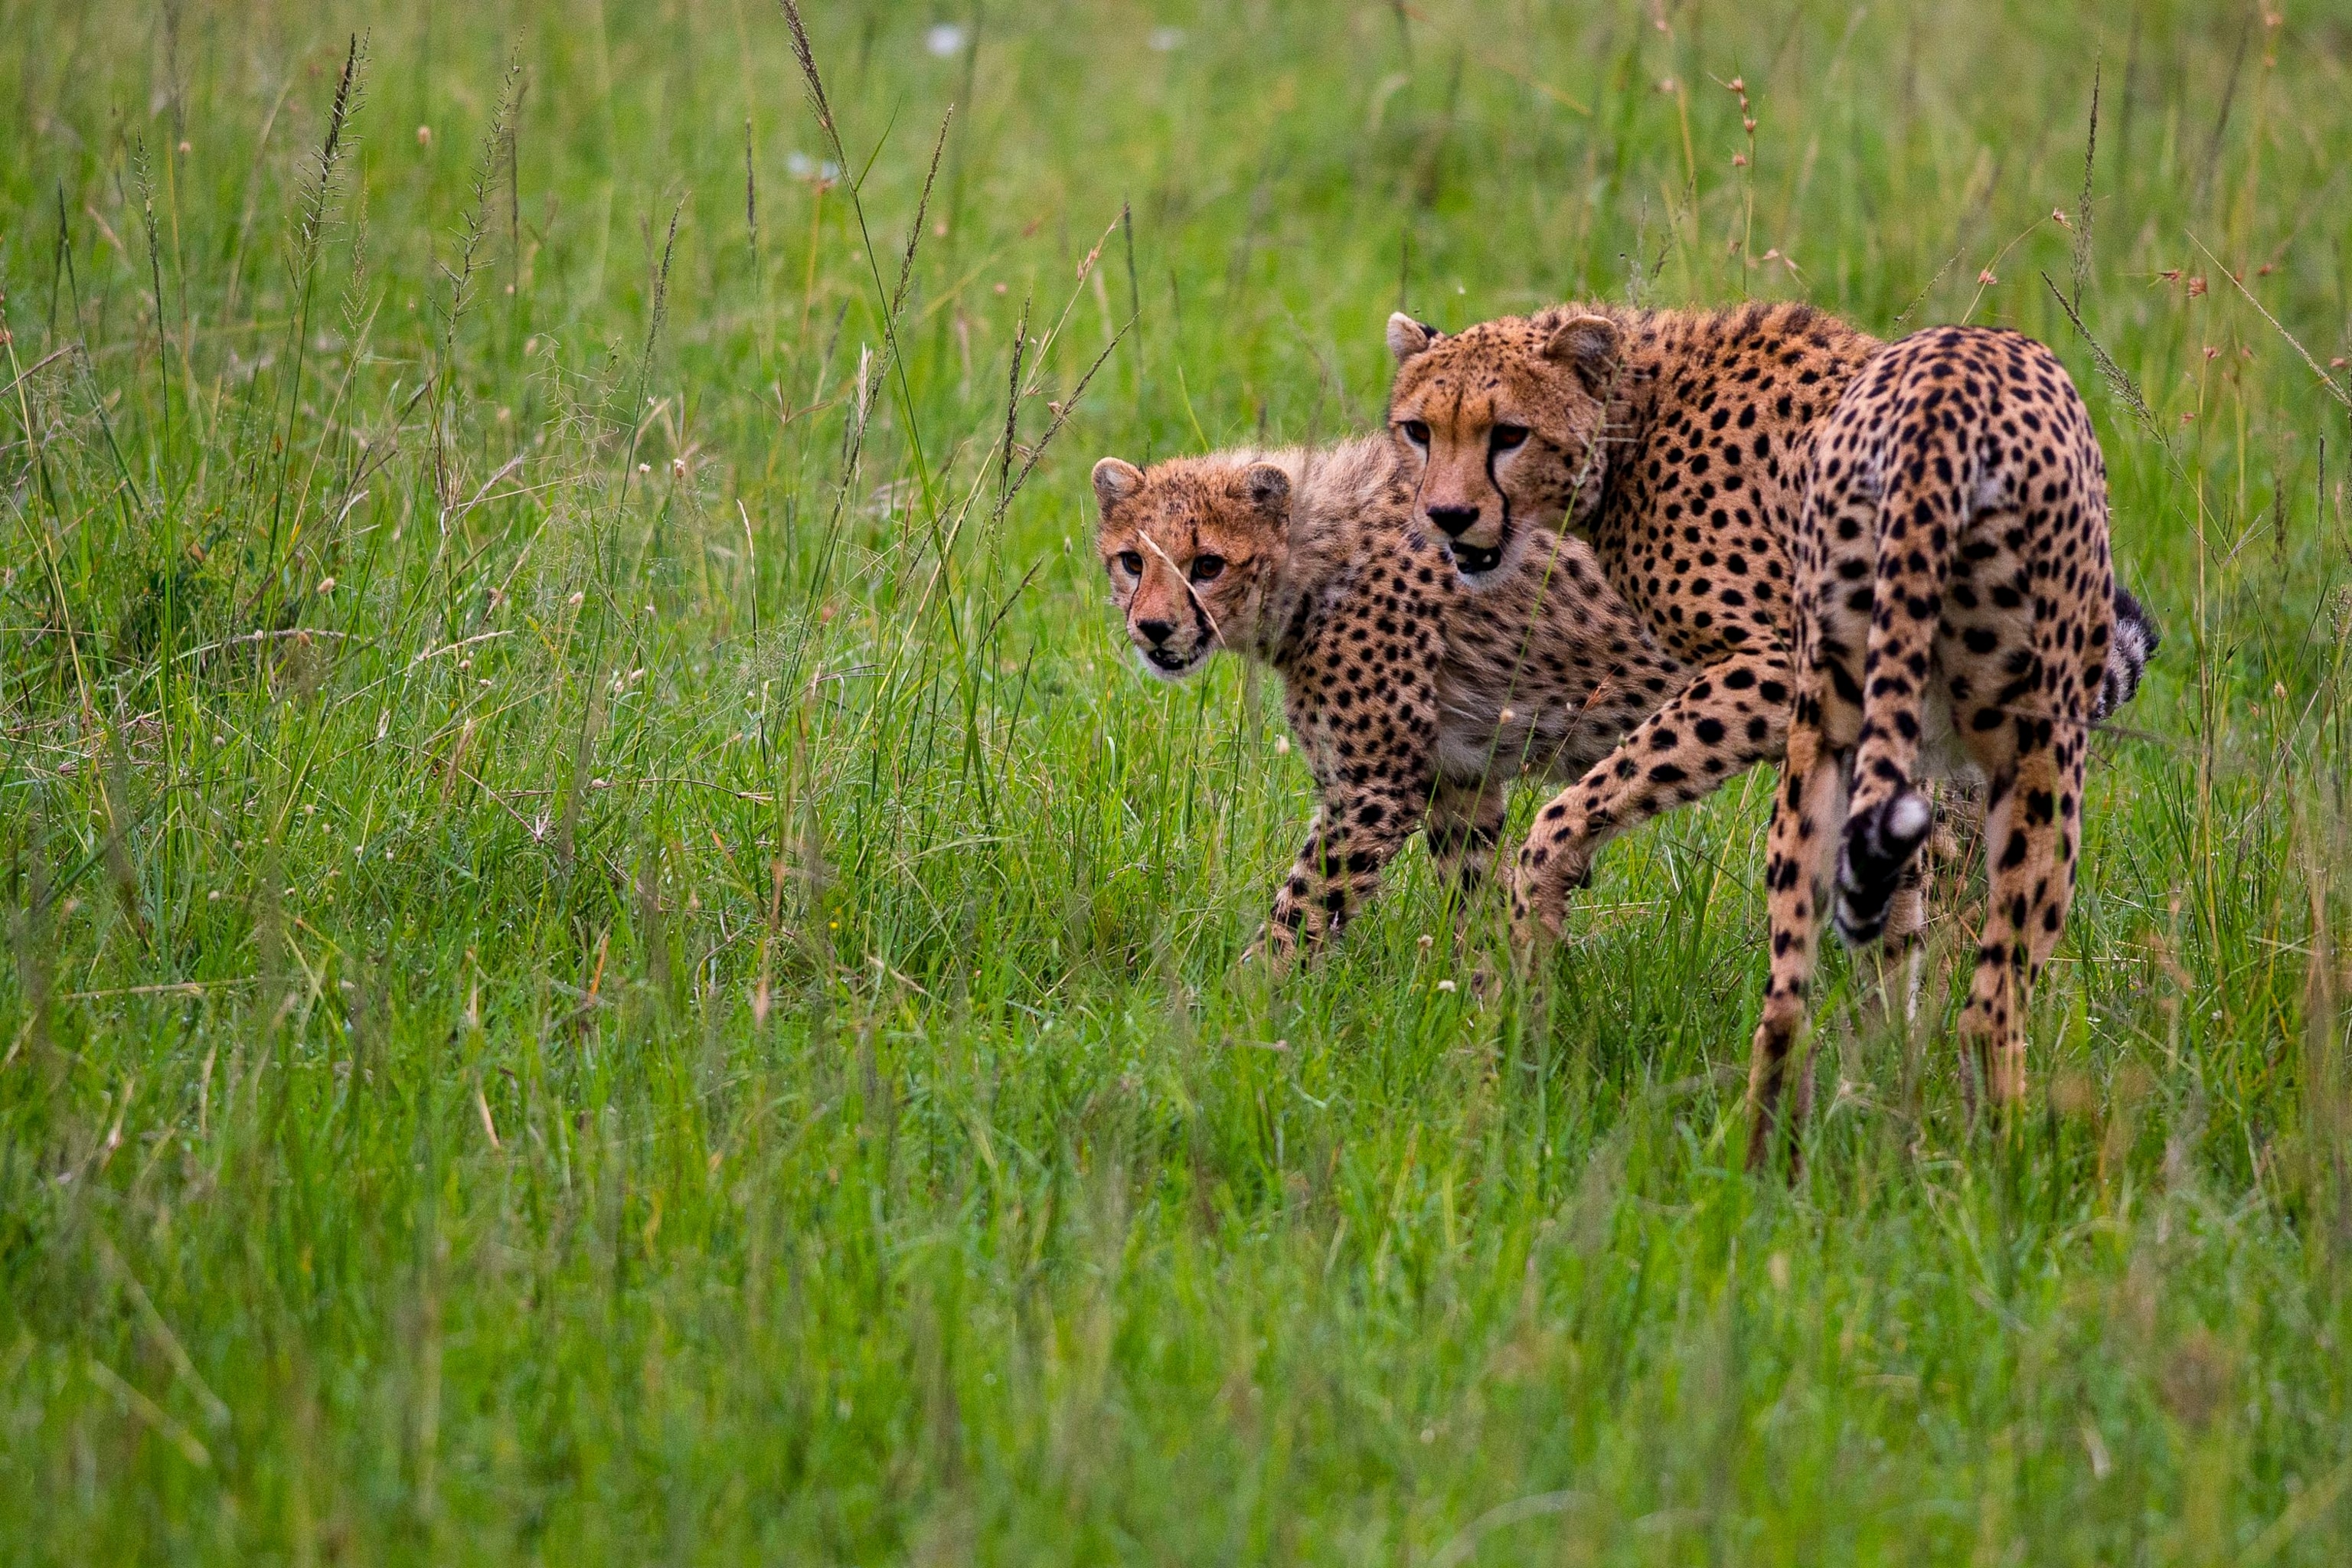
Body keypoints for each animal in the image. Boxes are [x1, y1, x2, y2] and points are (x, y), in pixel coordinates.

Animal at [1090, 433, 1687, 965]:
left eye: (1208, 565)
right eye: (1133, 562)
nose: (1154, 628)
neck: (1317, 552)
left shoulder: (1372, 791)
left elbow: (1301, 912)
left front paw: (1243, 1000)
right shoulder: (1458, 778)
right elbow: (1477, 894)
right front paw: (1488, 1002)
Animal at [1382, 303, 2158, 1163]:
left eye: (1509, 434)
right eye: (1419, 430)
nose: (1447, 517)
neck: (1636, 418)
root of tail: (1943, 416)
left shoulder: (1771, 668)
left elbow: (1563, 815)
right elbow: (1903, 919)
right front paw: (1884, 1084)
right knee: (1955, 997)